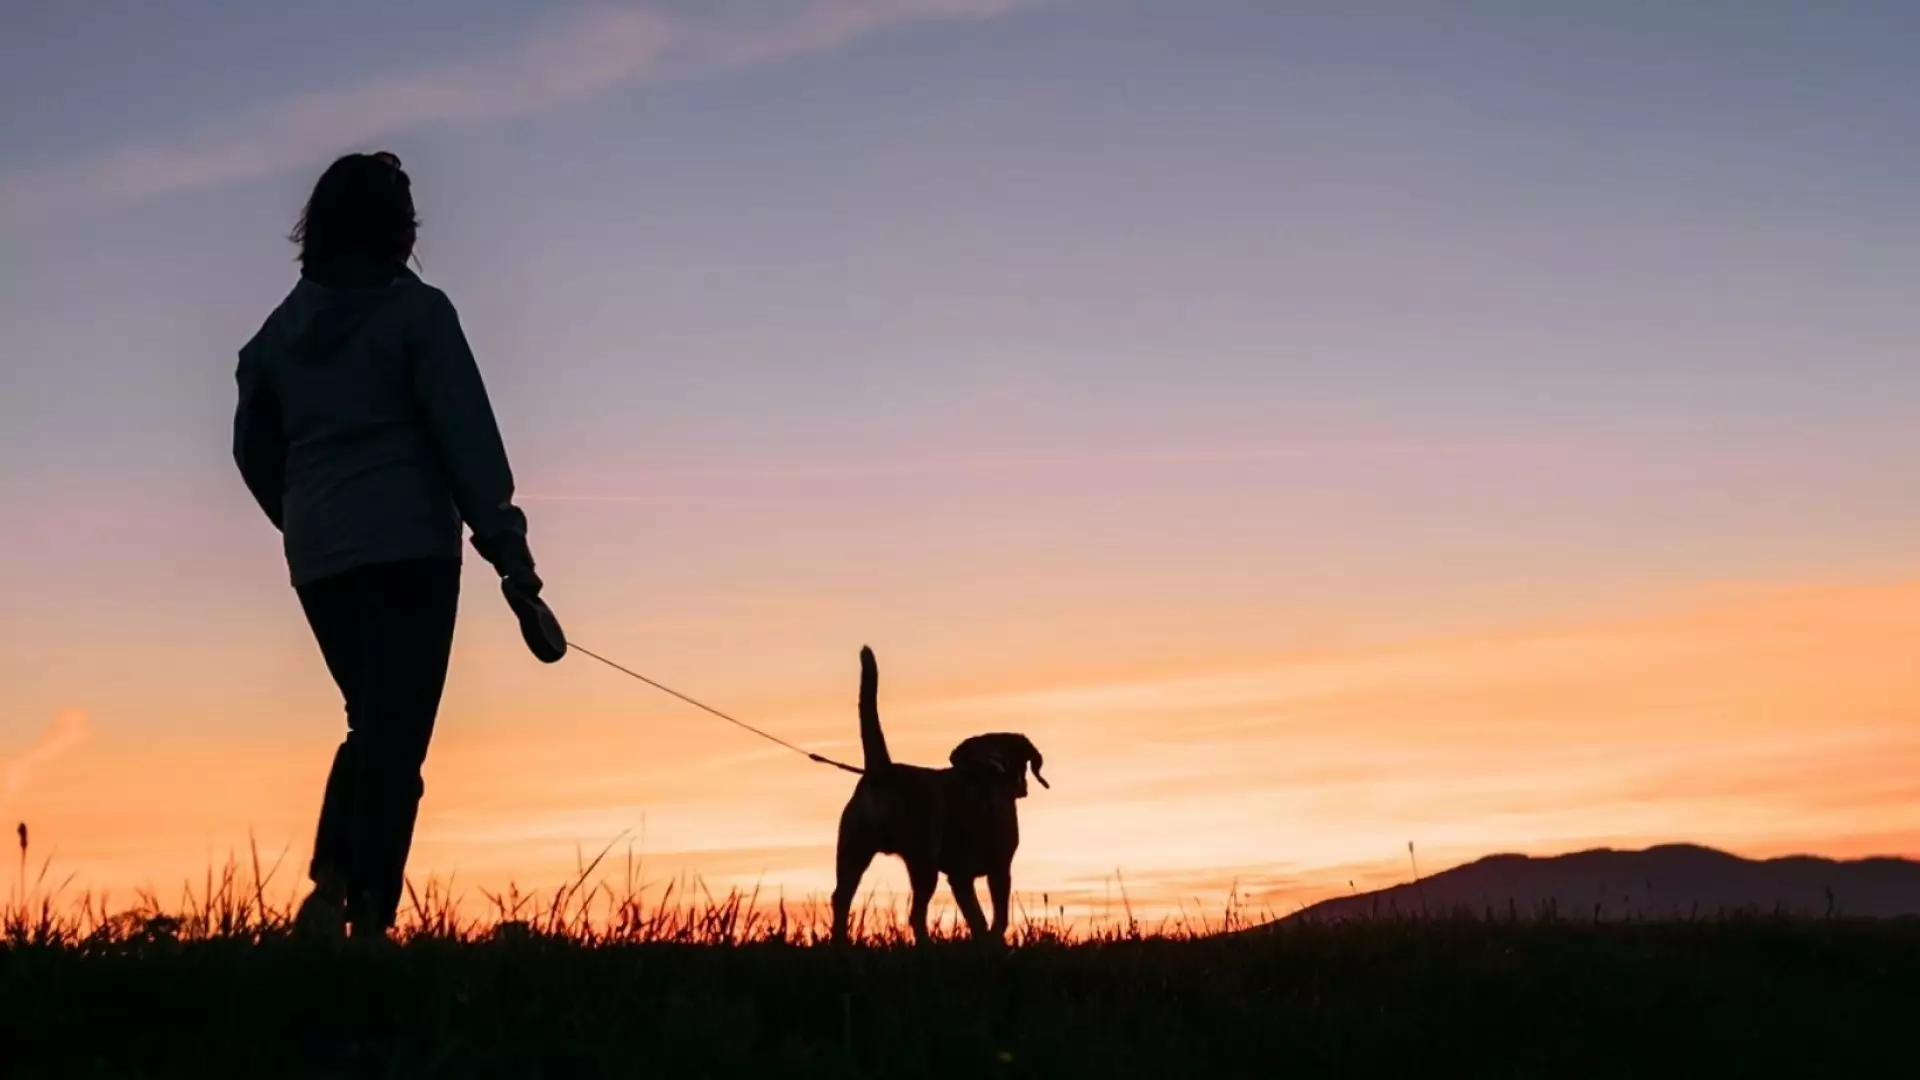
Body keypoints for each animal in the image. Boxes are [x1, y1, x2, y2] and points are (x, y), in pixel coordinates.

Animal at [829, 641, 1052, 937]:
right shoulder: (999, 868)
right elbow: (998, 918)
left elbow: (977, 918)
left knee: (841, 899)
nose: (1023, 788)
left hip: (853, 851)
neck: (988, 767)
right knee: (916, 914)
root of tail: (882, 772)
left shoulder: (960, 877)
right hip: (923, 858)